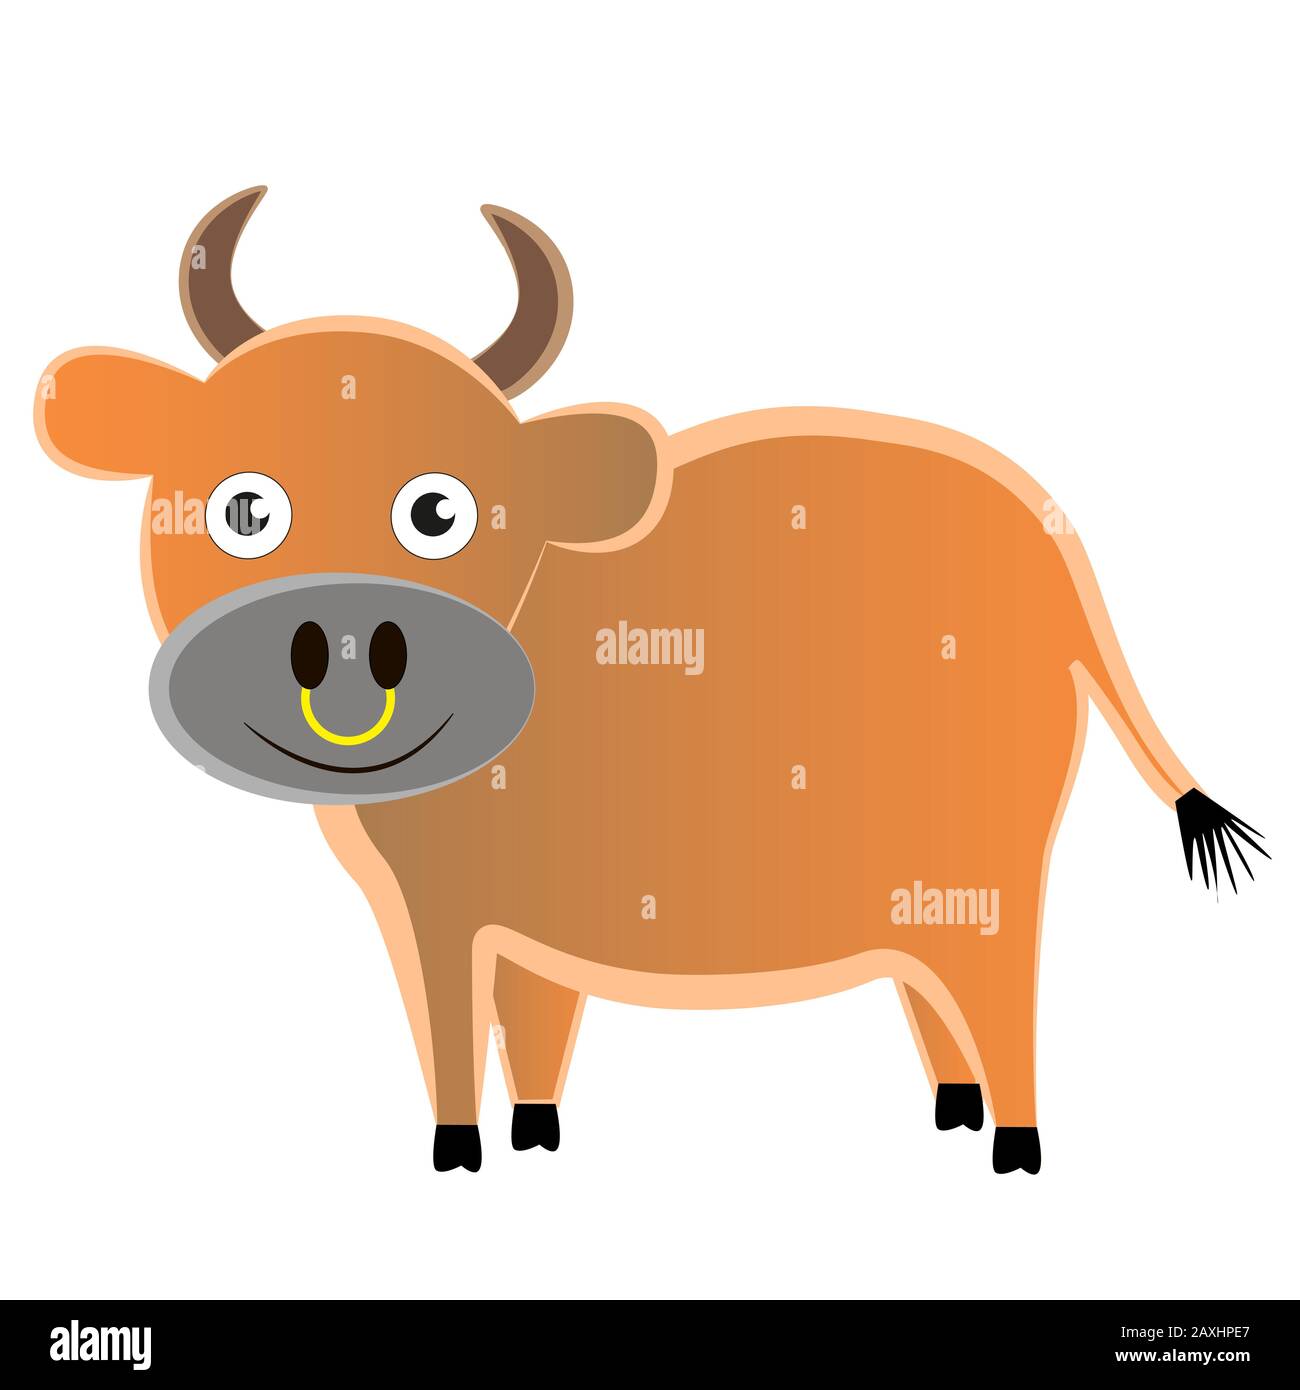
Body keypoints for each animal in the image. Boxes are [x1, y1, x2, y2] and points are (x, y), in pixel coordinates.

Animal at [34, 188, 1266, 1175]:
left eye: (439, 511)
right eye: (246, 508)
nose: (344, 637)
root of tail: (1059, 551)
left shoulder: (442, 907)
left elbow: (452, 1023)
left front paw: (457, 1155)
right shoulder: (524, 912)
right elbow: (530, 1025)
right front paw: (534, 1141)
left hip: (997, 862)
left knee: (1002, 991)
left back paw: (1015, 1149)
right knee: (934, 992)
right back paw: (952, 1118)